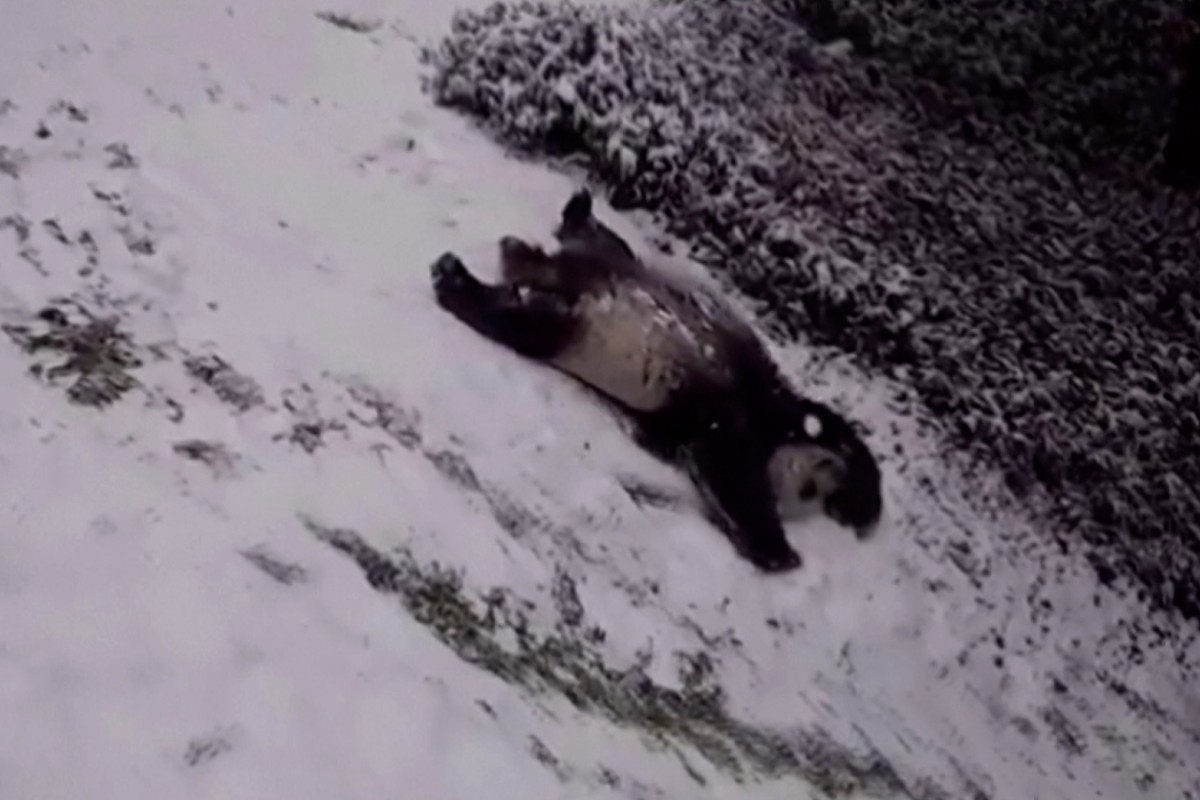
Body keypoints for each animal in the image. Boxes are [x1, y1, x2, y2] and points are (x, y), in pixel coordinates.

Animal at [429, 188, 882, 572]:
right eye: (812, 493)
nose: (823, 498)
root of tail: (554, 268)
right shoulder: (736, 421)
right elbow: (735, 477)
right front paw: (779, 549)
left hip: (603, 293)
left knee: (575, 268)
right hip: (587, 324)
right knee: (525, 322)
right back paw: (456, 278)